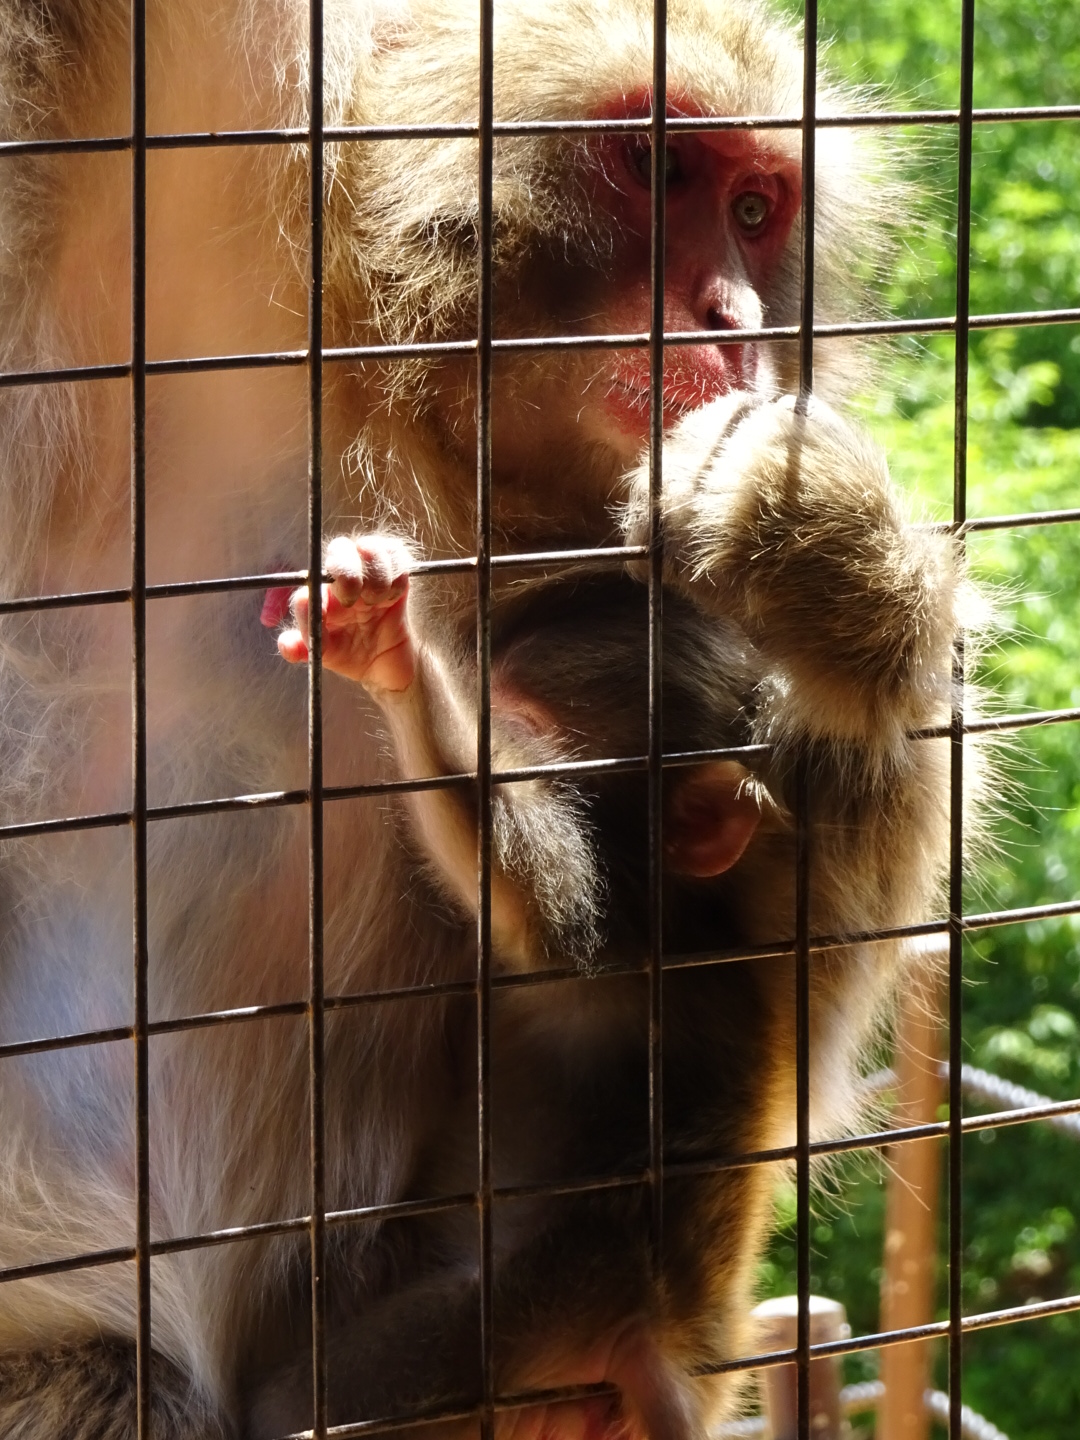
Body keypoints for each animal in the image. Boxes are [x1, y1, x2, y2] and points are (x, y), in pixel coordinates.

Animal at [0, 0, 971, 1435]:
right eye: (660, 171)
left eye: (755, 208)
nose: (734, 313)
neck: (445, 452)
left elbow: (789, 987)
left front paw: (836, 555)